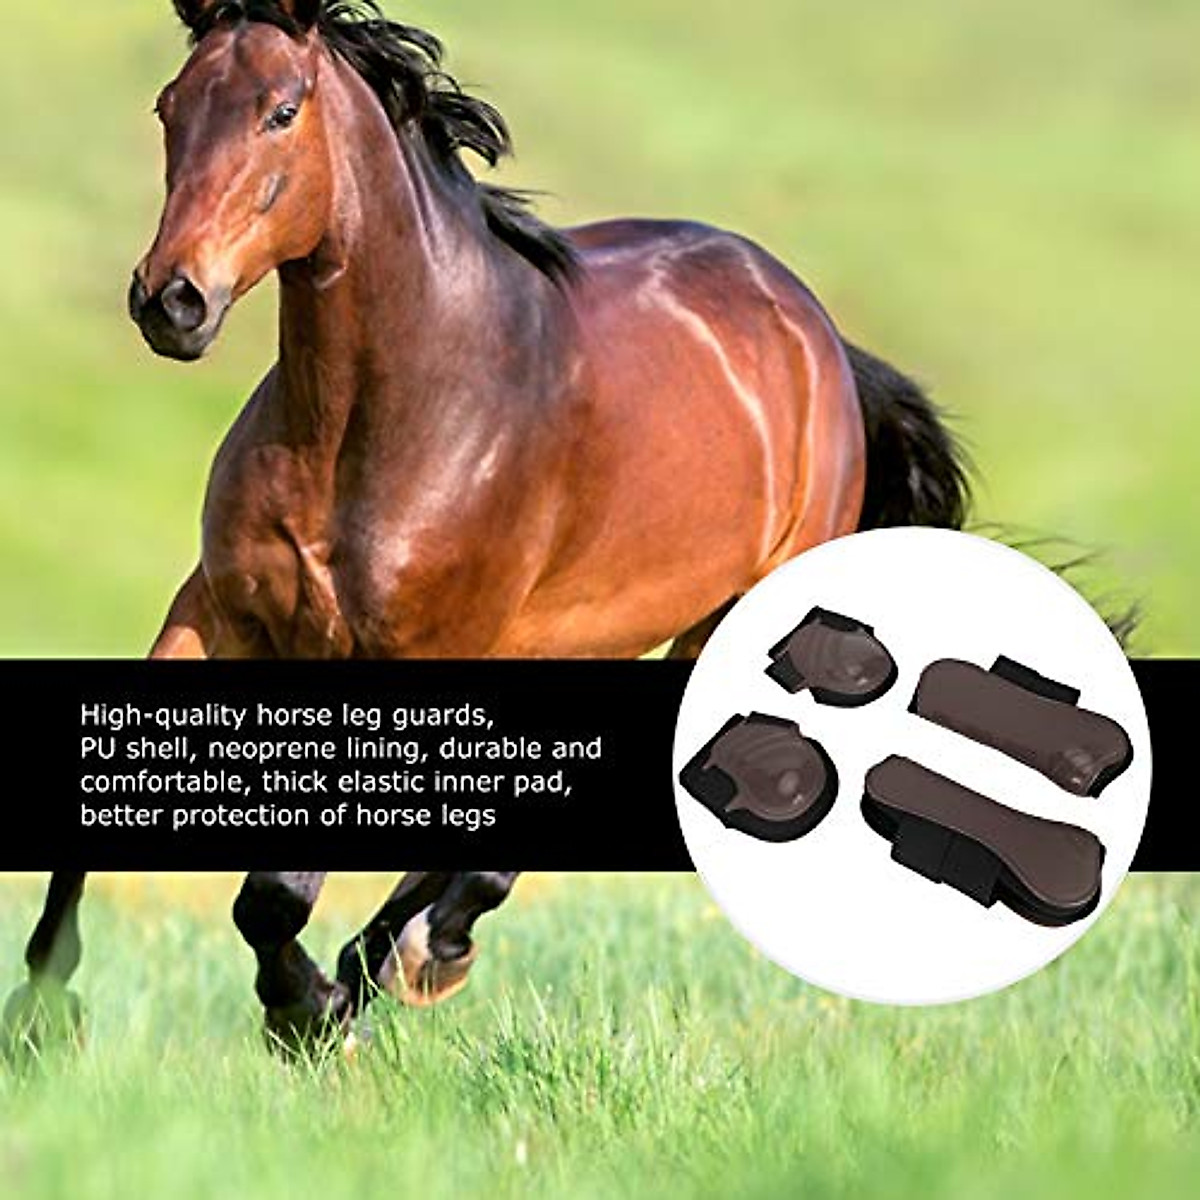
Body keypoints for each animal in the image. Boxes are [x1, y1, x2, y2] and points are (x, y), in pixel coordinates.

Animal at [4, 0, 968, 1056]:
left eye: (281, 110)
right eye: (170, 106)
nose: (171, 300)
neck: (380, 416)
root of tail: (816, 336)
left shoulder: (413, 653)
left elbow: (275, 895)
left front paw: (305, 1010)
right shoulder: (222, 613)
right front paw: (40, 1014)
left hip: (711, 627)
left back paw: (413, 957)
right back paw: (391, 958)